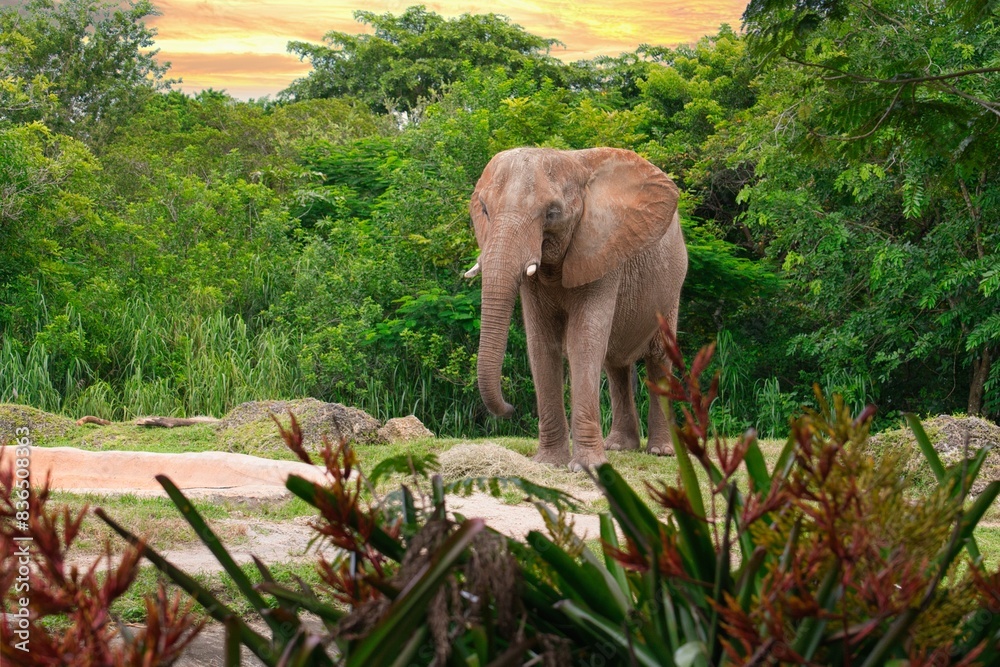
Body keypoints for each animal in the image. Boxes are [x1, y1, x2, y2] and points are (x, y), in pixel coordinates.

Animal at [466, 146, 688, 471]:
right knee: (615, 364)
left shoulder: (602, 249)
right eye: (483, 209)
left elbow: (582, 340)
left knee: (658, 356)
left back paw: (660, 451)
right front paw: (548, 463)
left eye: (552, 213)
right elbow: (541, 344)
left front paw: (587, 467)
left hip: (672, 286)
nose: (510, 408)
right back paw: (619, 446)